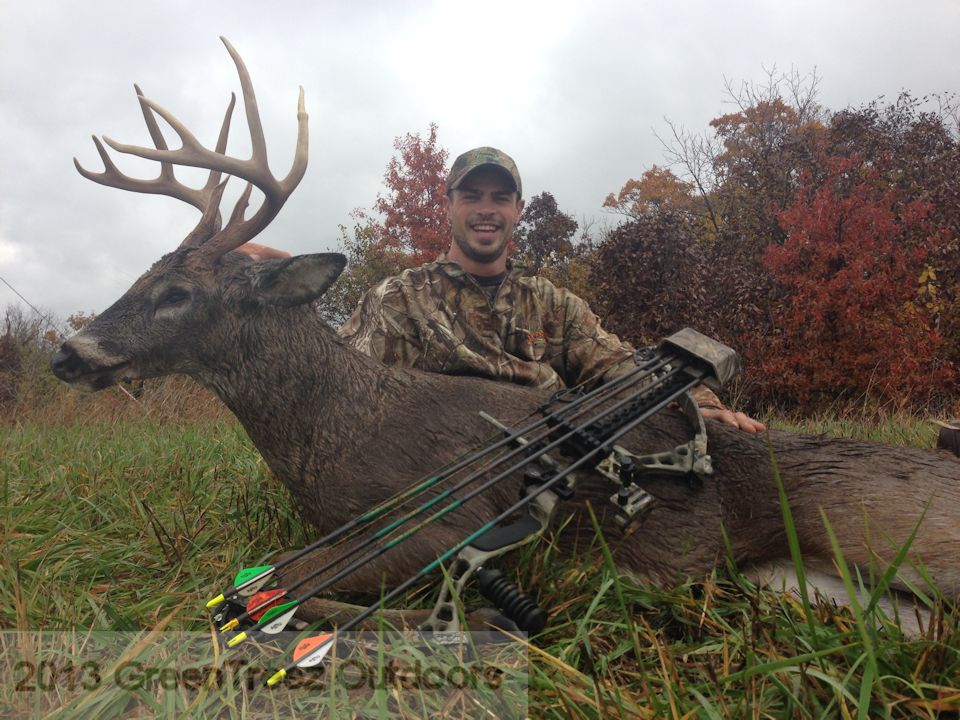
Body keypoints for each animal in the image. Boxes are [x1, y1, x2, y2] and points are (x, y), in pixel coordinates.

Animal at [52, 38, 960, 636]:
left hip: (906, 528)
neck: (330, 434)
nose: (68, 351)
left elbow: (295, 585)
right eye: (144, 271)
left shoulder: (440, 528)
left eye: (177, 292)